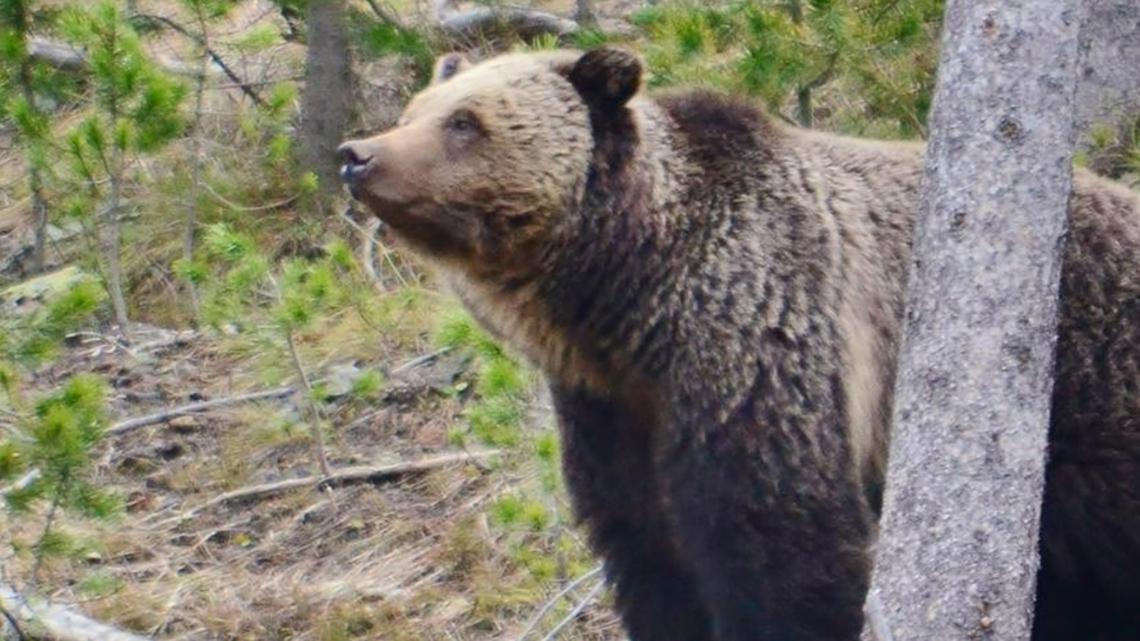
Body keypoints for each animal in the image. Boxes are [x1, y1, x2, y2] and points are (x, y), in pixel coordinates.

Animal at [336, 47, 1140, 641]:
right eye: (415, 110)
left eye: (465, 121)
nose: (357, 152)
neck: (628, 301)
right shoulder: (610, 413)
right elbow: (649, 551)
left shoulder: (758, 343)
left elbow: (779, 543)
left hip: (1094, 381)